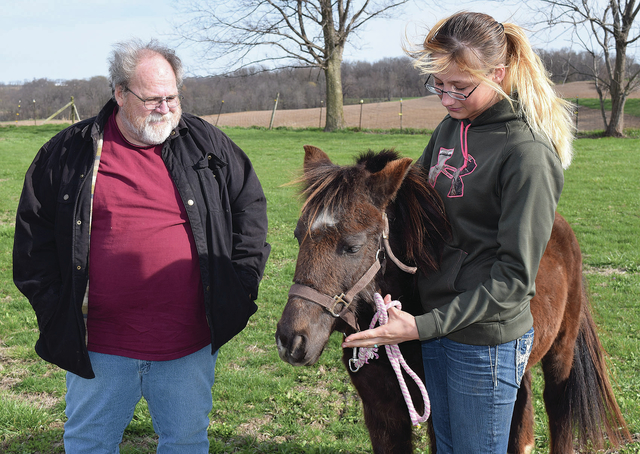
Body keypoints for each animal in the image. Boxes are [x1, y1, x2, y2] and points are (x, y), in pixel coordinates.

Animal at [275, 145, 630, 454]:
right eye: (298, 235)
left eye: (352, 246)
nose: (291, 340)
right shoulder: (382, 415)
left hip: (561, 355)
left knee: (558, 412)